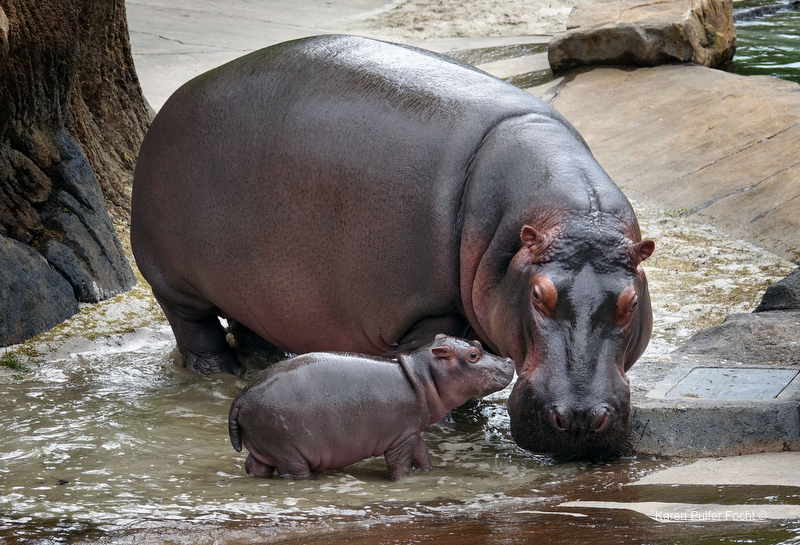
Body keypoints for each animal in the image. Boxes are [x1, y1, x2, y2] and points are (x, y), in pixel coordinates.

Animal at [131, 34, 654, 457]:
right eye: (538, 295)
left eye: (631, 302)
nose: (580, 419)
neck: (565, 220)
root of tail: (169, 105)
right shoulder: (425, 313)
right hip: (171, 280)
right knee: (194, 328)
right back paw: (221, 372)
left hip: (259, 288)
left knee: (252, 324)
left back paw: (260, 362)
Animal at [228, 335, 514, 480]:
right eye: (473, 356)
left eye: (477, 343)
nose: (510, 360)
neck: (420, 374)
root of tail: (239, 400)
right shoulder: (400, 438)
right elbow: (400, 465)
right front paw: (407, 481)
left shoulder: (411, 431)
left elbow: (423, 453)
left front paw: (430, 473)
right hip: (289, 452)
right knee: (293, 473)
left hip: (265, 447)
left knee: (254, 465)